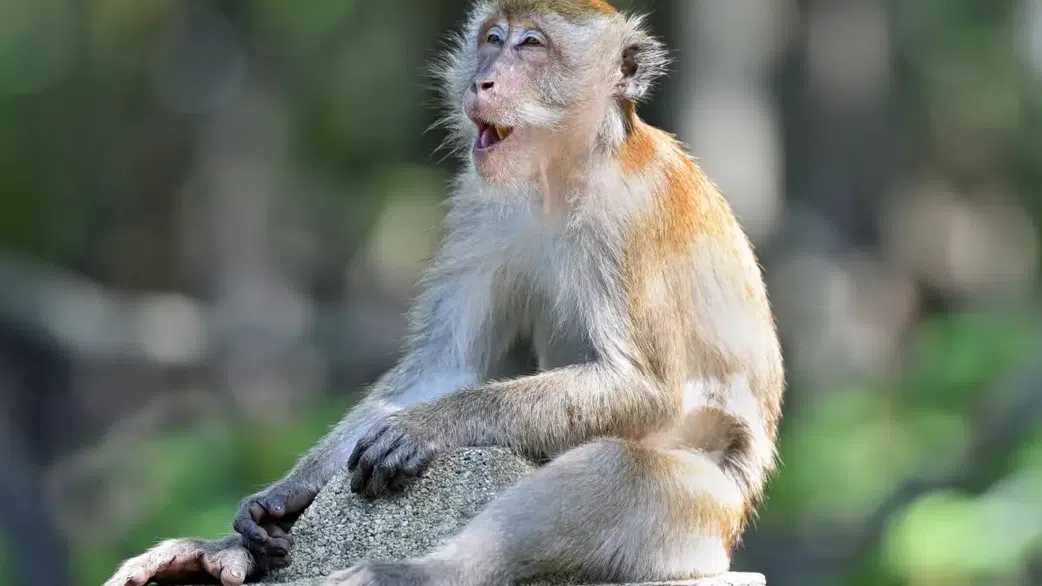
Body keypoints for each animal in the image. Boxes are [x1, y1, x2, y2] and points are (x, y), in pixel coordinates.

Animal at [102, 1, 784, 585]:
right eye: (492, 38)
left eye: (531, 45)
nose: (482, 81)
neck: (562, 175)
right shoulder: (479, 202)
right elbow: (444, 364)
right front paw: (283, 497)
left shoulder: (631, 216)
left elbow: (643, 388)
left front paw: (428, 426)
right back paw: (224, 555)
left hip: (702, 525)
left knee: (620, 472)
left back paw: (417, 573)